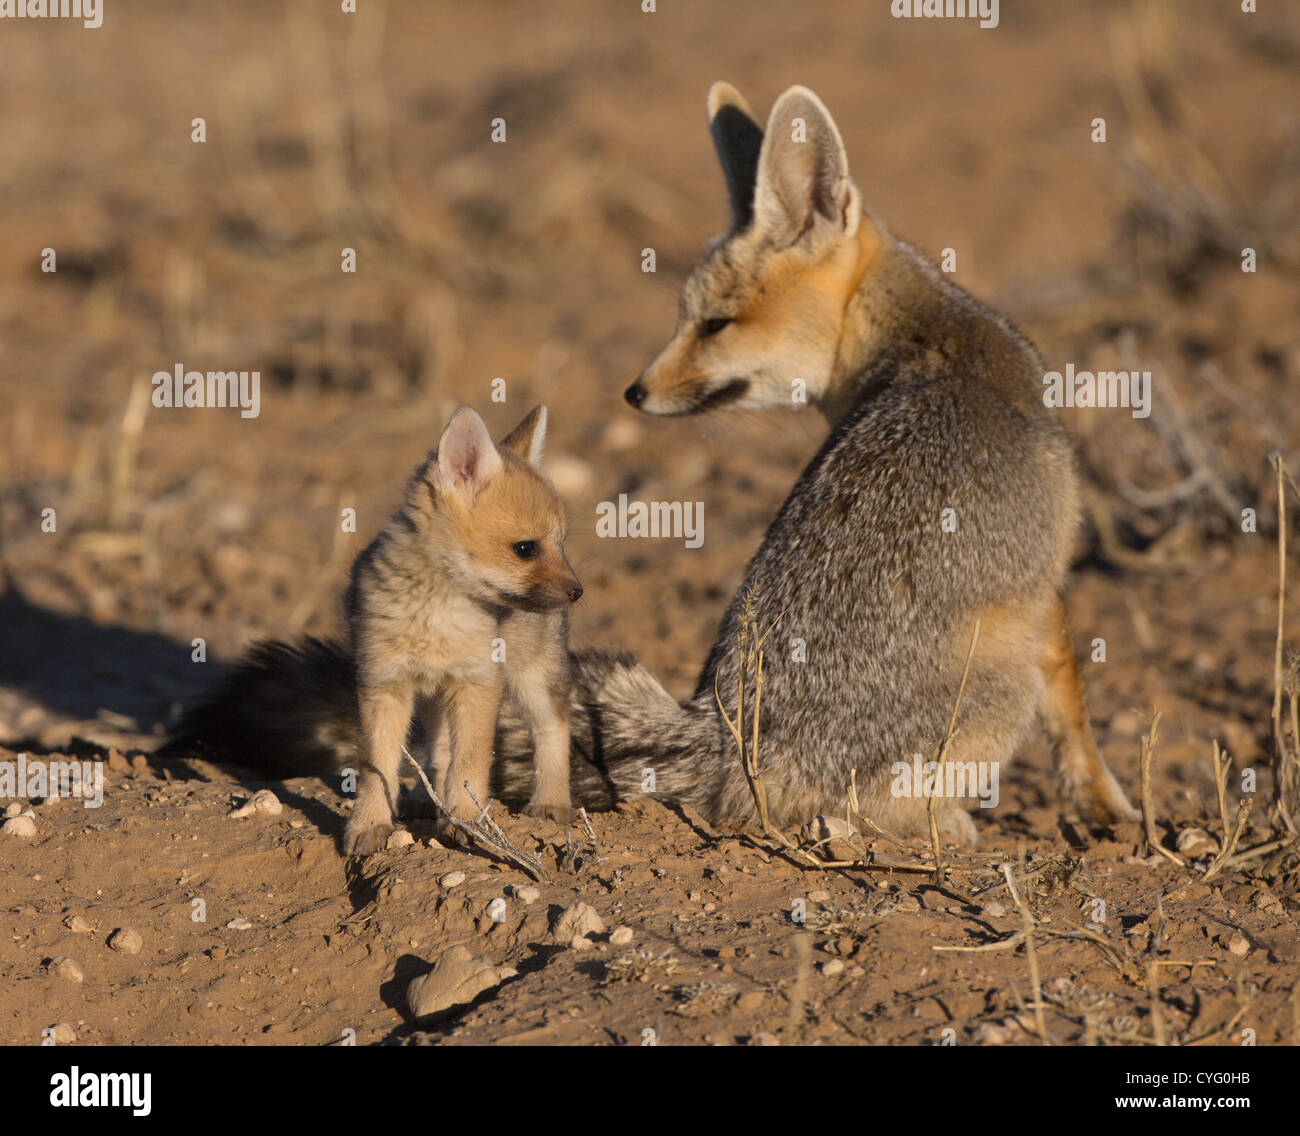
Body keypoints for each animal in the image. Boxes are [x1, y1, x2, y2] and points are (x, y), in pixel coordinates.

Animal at [163, 405, 583, 855]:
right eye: (525, 549)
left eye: (560, 544)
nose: (578, 591)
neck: (435, 613)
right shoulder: (383, 682)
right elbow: (377, 765)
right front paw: (370, 824)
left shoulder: (477, 683)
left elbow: (470, 765)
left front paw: (468, 822)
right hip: (433, 697)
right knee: (438, 747)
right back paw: (424, 799)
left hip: (532, 680)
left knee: (553, 729)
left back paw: (551, 802)